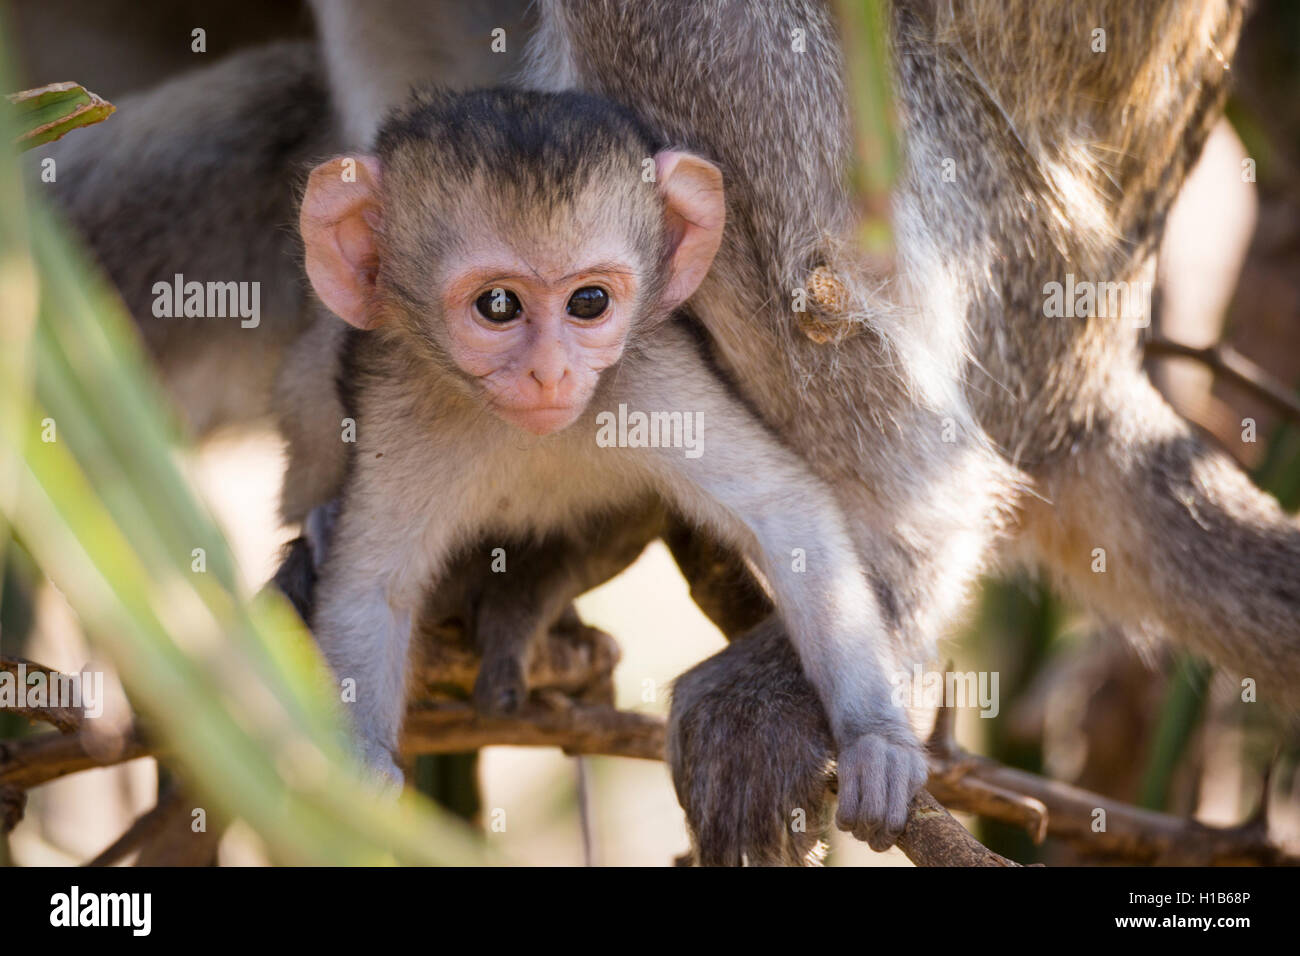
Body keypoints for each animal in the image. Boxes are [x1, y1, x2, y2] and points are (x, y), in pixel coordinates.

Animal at [292, 84, 930, 845]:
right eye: (497, 305)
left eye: (588, 301)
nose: (550, 373)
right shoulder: (402, 401)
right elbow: (371, 586)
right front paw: (358, 770)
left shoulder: (654, 377)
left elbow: (786, 513)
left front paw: (874, 738)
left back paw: (527, 597)